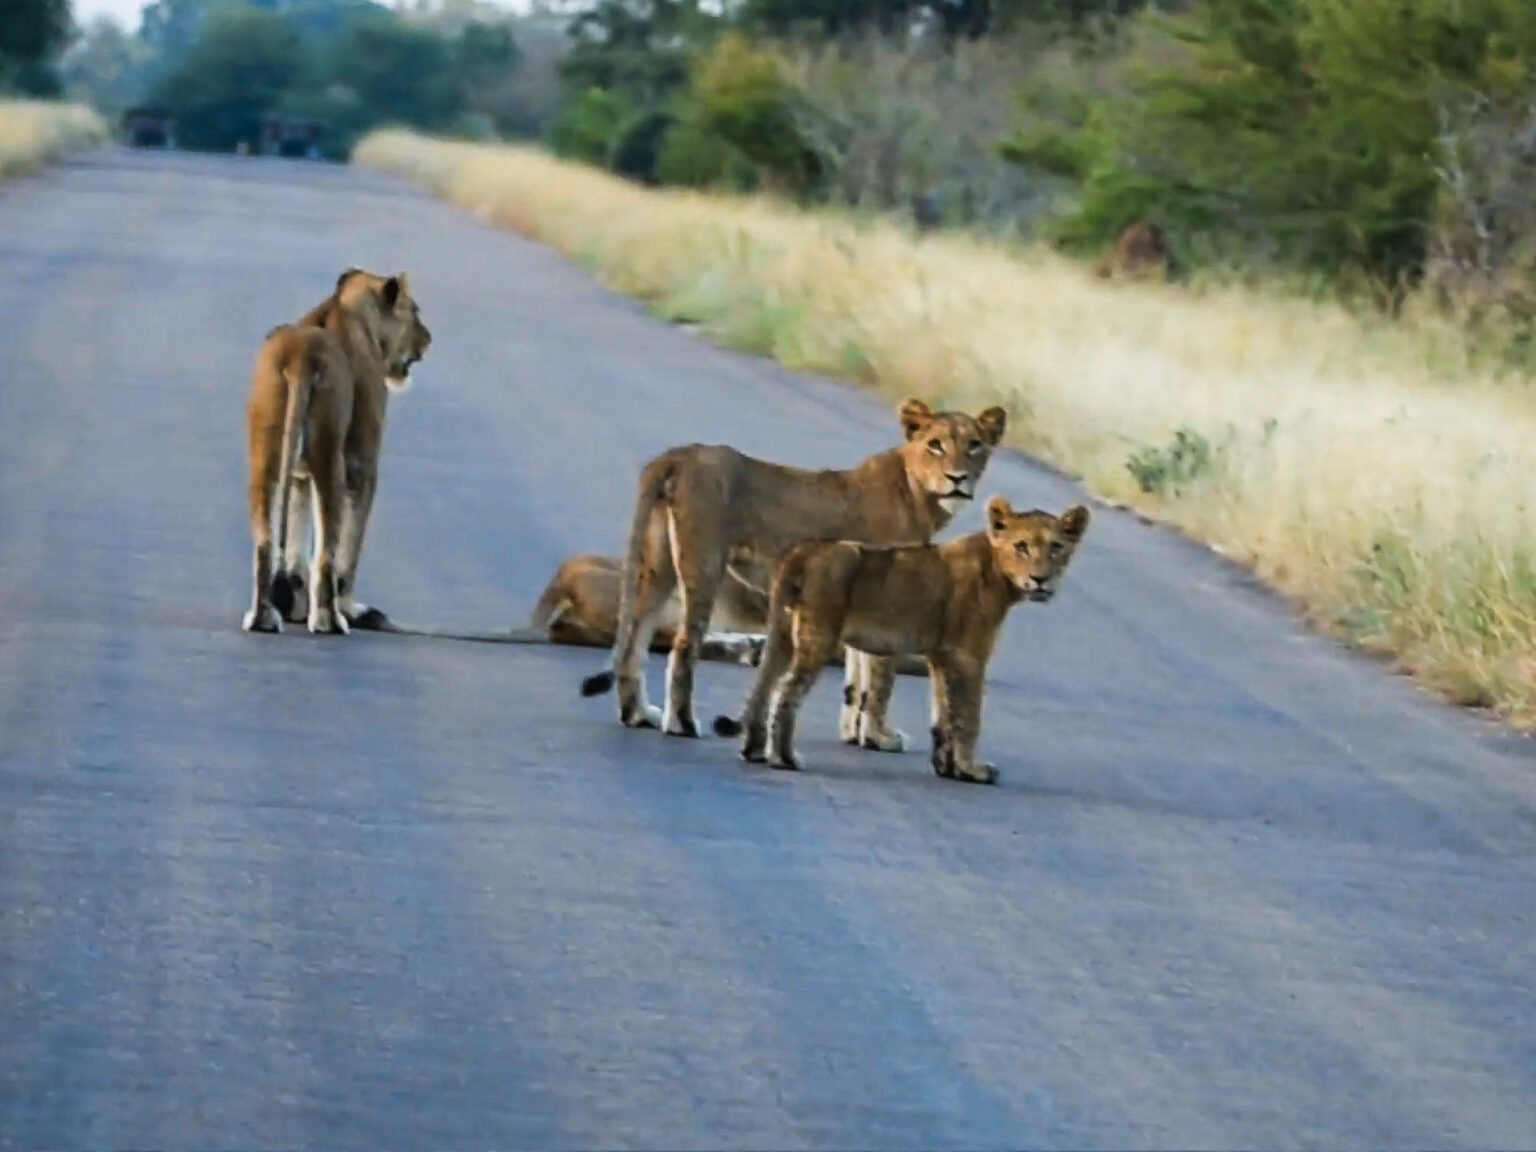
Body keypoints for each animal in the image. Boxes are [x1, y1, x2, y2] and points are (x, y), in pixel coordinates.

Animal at [242, 267, 431, 635]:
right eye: (415, 310)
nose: (429, 340)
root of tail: (299, 355)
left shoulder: (298, 474)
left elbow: (296, 543)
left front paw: (295, 607)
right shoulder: (363, 463)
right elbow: (348, 550)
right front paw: (350, 609)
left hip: (265, 457)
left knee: (265, 543)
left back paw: (264, 618)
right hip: (330, 458)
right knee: (327, 555)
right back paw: (330, 619)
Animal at [579, 396, 1008, 742]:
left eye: (974, 445)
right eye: (935, 445)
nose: (957, 478)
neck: (919, 493)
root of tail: (678, 454)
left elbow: (856, 675)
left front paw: (853, 734)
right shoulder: (892, 593)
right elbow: (880, 676)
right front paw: (879, 737)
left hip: (659, 566)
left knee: (635, 637)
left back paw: (638, 715)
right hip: (705, 563)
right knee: (683, 646)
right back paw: (681, 724)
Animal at [714, 498, 1090, 784]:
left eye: (1056, 548)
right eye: (1021, 546)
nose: (1040, 580)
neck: (999, 573)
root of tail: (801, 552)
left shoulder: (941, 656)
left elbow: (943, 716)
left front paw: (947, 768)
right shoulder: (968, 656)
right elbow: (969, 717)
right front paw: (973, 770)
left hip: (782, 633)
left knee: (764, 684)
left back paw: (754, 752)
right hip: (817, 636)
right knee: (787, 692)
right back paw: (785, 758)